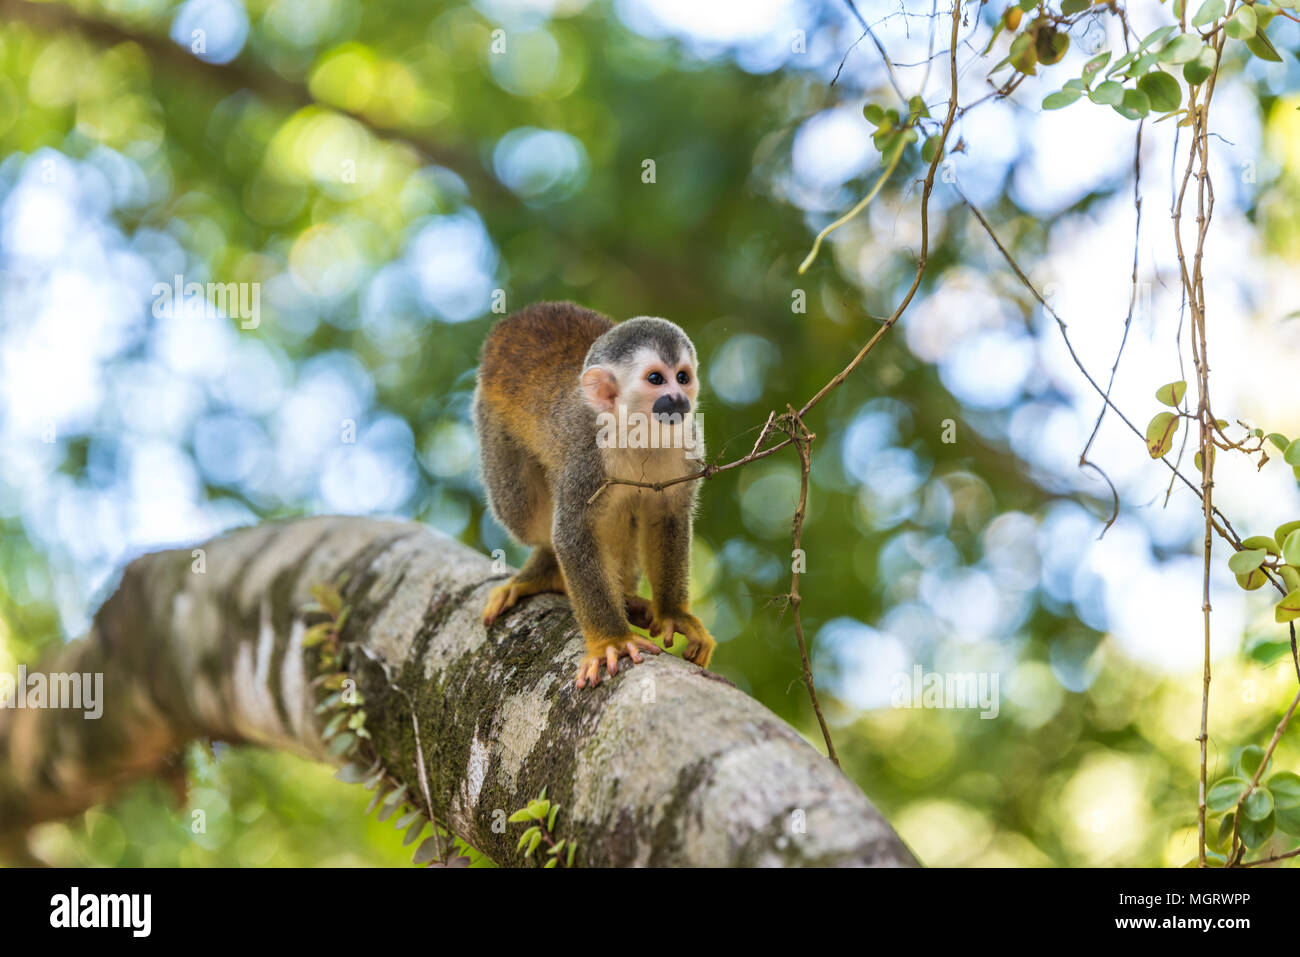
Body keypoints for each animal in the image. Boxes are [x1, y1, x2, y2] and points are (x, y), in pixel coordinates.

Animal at [474, 301, 716, 689]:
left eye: (682, 376)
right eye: (655, 379)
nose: (679, 399)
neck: (637, 431)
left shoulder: (688, 444)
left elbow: (667, 518)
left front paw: (672, 614)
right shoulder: (587, 456)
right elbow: (572, 533)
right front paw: (610, 642)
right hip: (491, 422)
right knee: (521, 508)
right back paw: (545, 568)